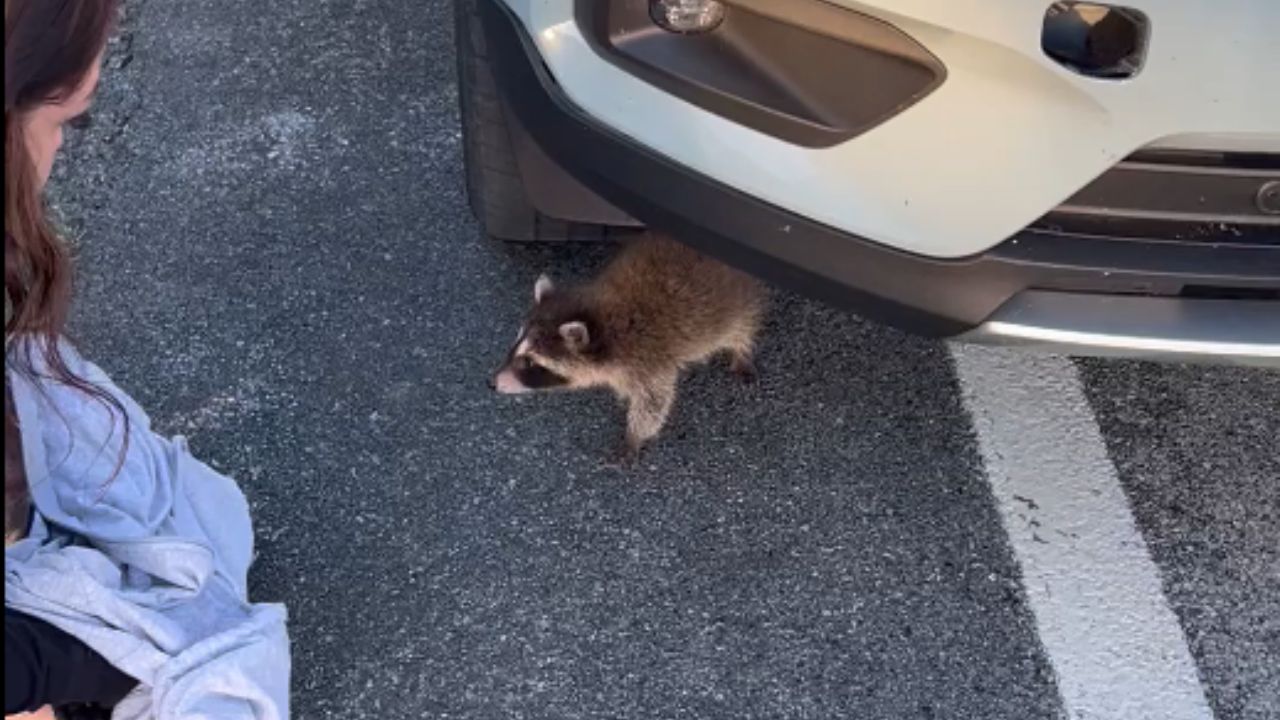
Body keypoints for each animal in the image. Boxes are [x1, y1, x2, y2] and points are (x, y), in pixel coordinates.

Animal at [491, 233, 766, 461]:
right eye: (515, 343)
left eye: (530, 362)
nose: (490, 384)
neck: (601, 321)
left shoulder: (648, 359)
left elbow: (653, 404)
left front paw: (633, 437)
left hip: (734, 306)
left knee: (740, 328)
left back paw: (742, 350)